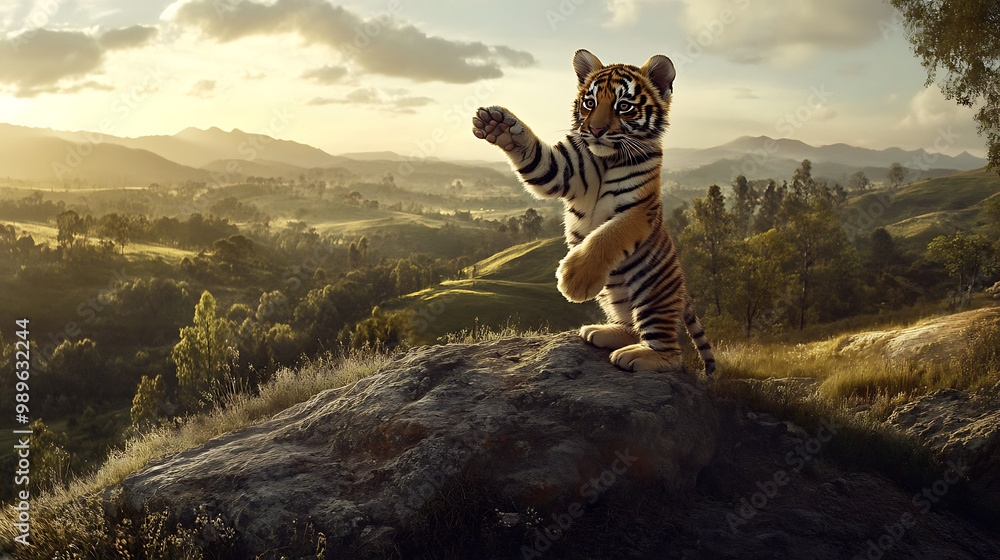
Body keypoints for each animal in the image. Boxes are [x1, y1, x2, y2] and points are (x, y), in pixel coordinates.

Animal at [471, 49, 715, 376]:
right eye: (590, 103)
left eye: (623, 106)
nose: (596, 130)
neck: (606, 158)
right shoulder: (561, 171)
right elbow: (535, 154)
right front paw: (498, 125)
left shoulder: (636, 210)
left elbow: (605, 236)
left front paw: (574, 281)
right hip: (617, 298)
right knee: (631, 325)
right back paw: (601, 332)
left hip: (652, 293)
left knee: (671, 350)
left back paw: (638, 356)